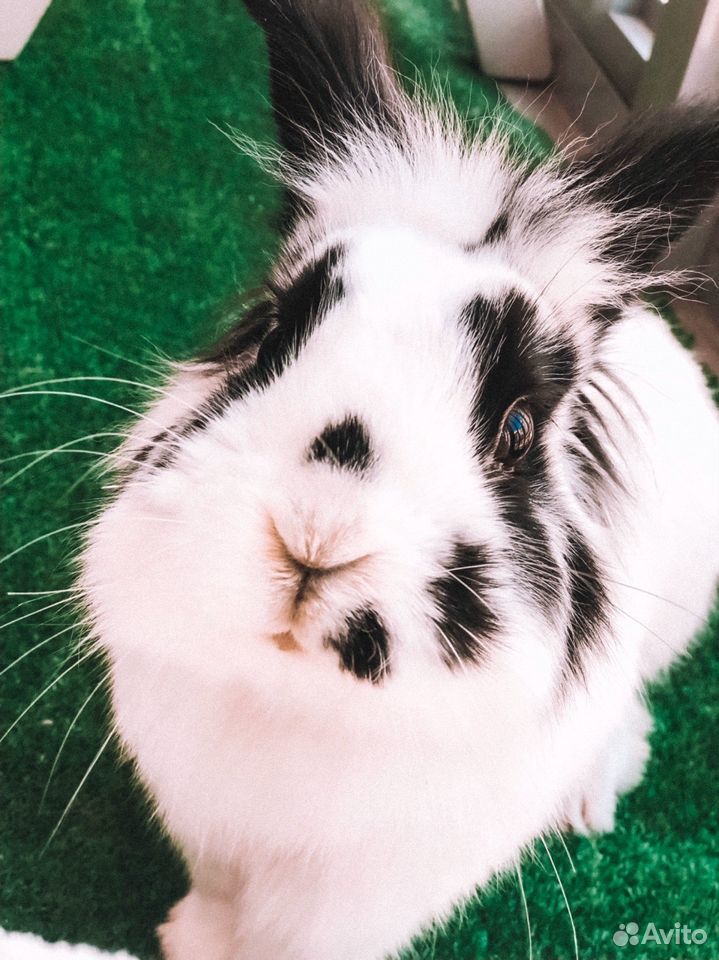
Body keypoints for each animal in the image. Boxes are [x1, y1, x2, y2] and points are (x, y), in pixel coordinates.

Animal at [78, 1, 719, 958]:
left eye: (516, 429)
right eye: (271, 336)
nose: (317, 532)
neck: (295, 702)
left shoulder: (368, 887)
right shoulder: (211, 825)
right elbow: (221, 893)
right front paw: (192, 938)